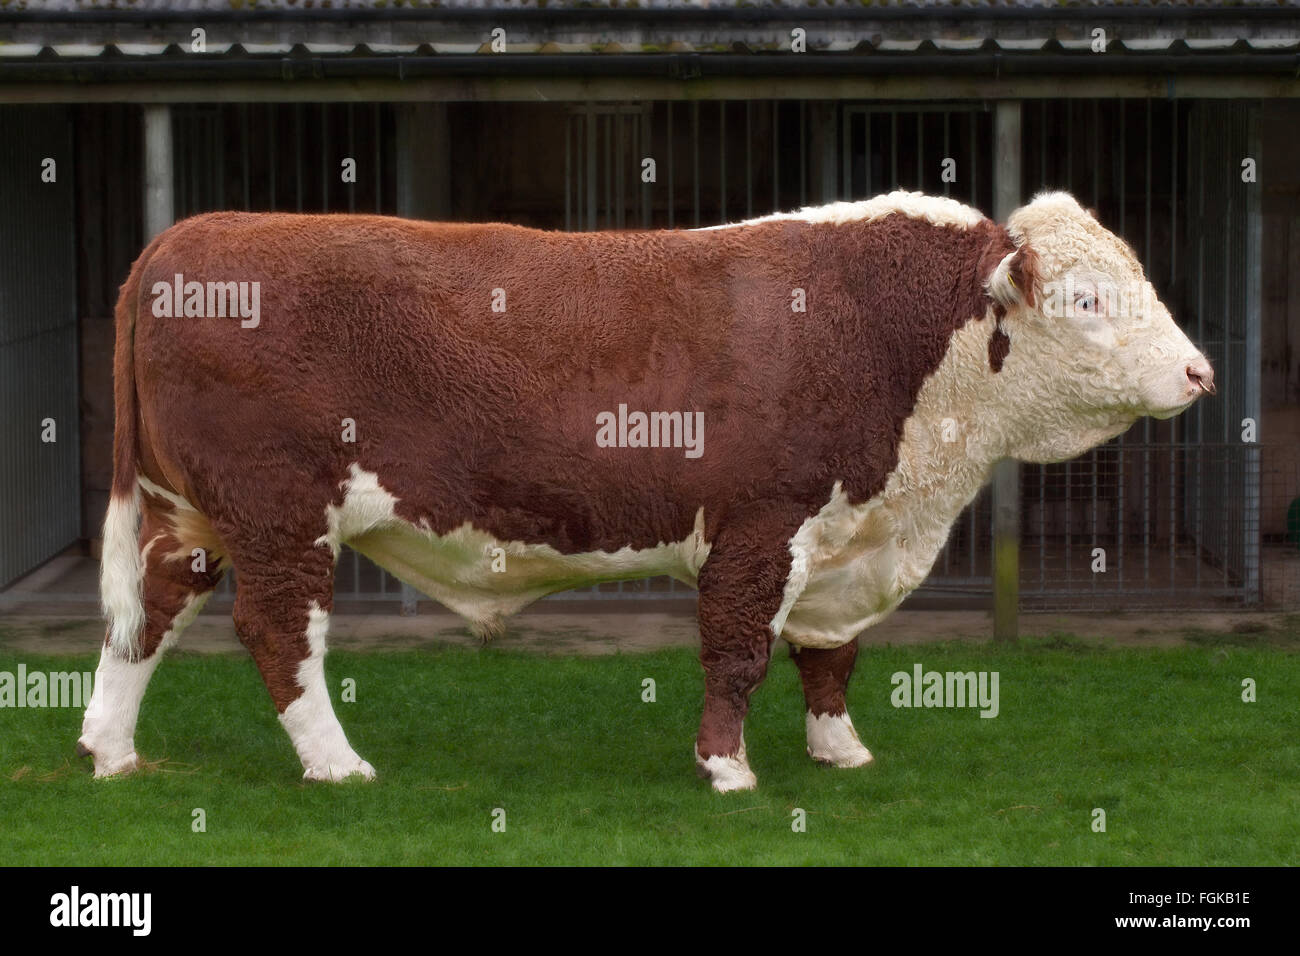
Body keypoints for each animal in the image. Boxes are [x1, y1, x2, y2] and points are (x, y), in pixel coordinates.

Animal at [78, 190, 1214, 791]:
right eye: (1086, 299)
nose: (1201, 373)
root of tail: (198, 230)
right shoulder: (761, 524)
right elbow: (741, 648)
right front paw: (728, 770)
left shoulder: (846, 539)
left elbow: (831, 653)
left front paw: (840, 750)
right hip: (281, 513)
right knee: (278, 631)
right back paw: (336, 763)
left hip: (193, 515)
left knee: (148, 616)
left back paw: (111, 749)